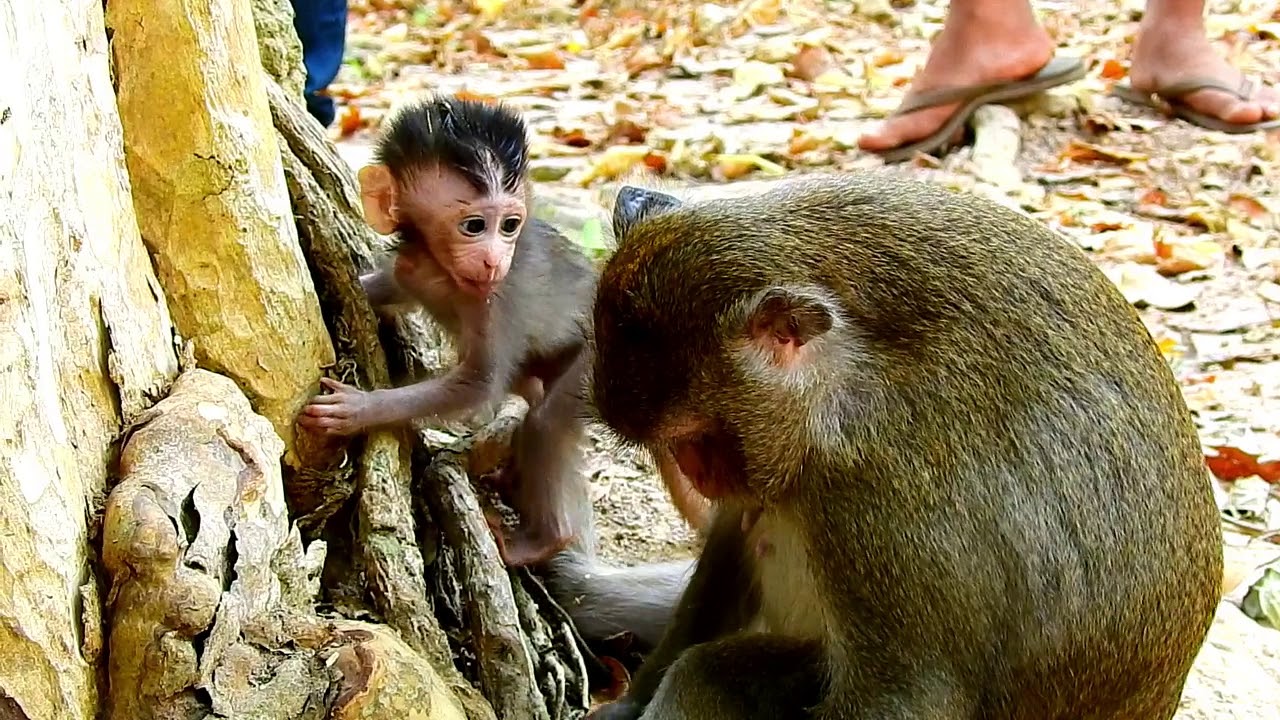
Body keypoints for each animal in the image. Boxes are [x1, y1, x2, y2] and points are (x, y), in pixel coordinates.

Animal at [546, 173, 1224, 719]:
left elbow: (907, 698)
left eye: (698, 438)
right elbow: (730, 546)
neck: (848, 373)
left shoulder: (888, 504)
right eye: (680, 446)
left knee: (711, 674)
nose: (697, 473)